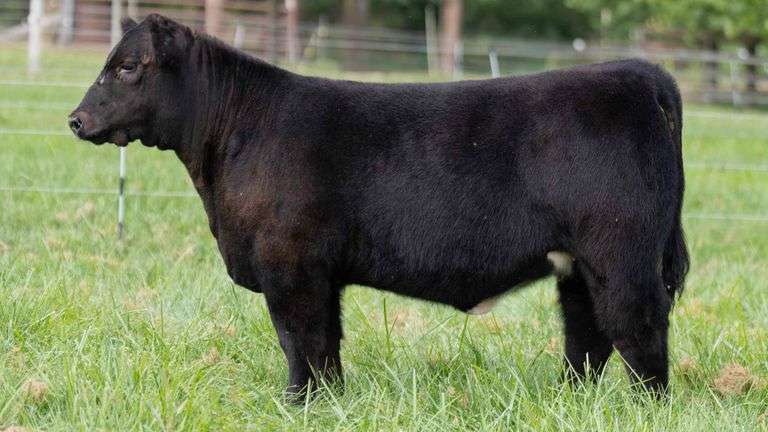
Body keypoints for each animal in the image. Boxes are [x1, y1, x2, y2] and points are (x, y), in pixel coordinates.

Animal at [69, 14, 689, 400]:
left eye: (128, 67)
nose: (76, 119)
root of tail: (636, 72)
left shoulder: (290, 266)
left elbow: (300, 340)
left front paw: (298, 404)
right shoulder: (319, 273)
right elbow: (325, 344)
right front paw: (327, 402)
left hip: (621, 254)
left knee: (638, 326)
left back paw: (645, 407)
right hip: (579, 264)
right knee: (588, 333)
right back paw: (570, 399)